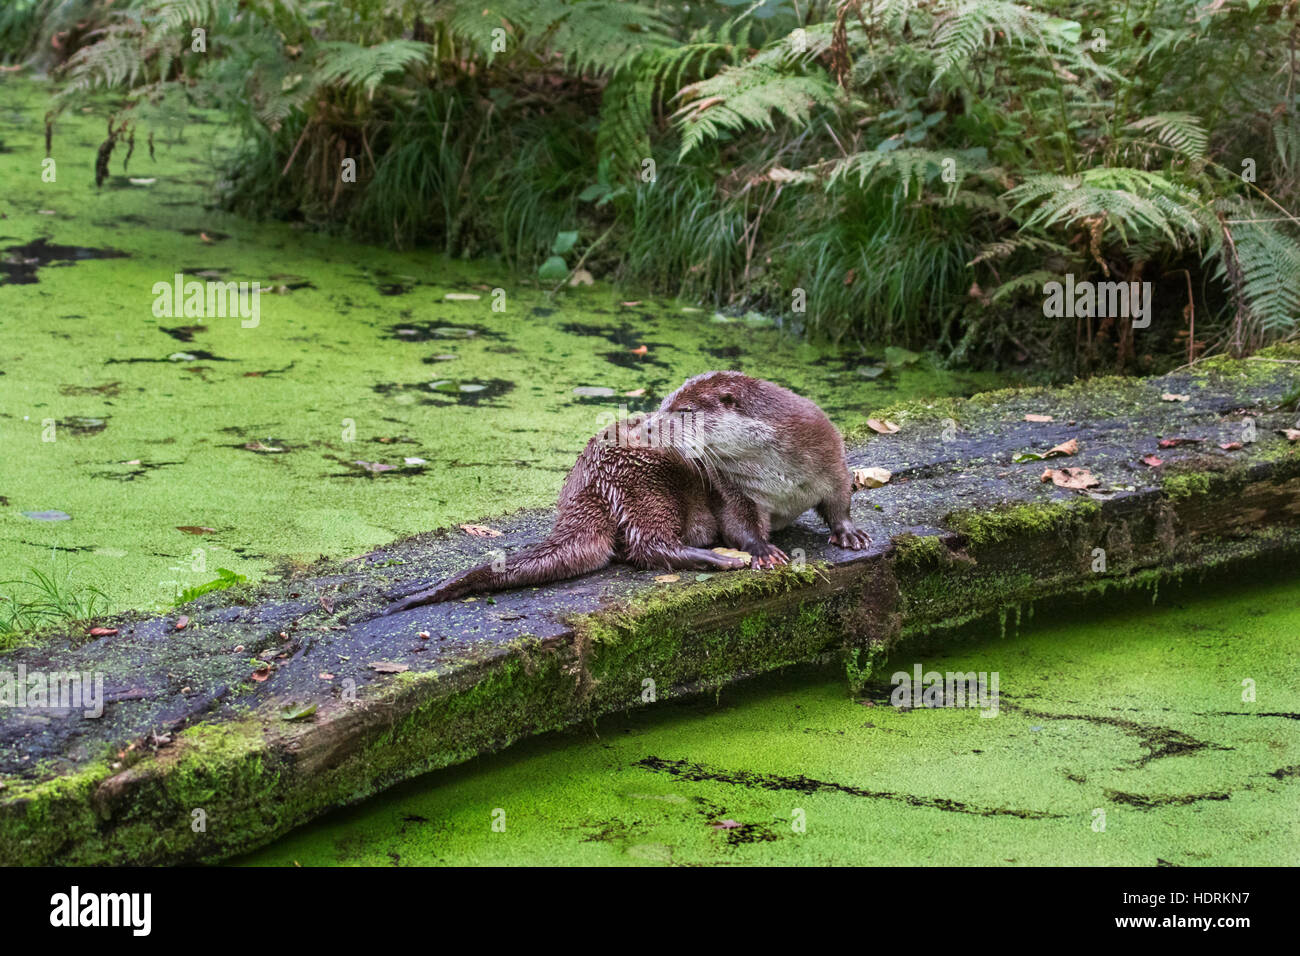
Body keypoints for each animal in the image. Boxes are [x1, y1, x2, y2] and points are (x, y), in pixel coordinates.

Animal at [382, 372, 868, 614]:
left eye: (683, 410)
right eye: (664, 402)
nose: (648, 424)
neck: (777, 473)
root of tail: (587, 480)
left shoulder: (830, 459)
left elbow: (840, 499)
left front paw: (851, 534)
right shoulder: (733, 491)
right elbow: (740, 525)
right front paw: (762, 551)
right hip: (645, 483)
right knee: (648, 545)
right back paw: (719, 559)